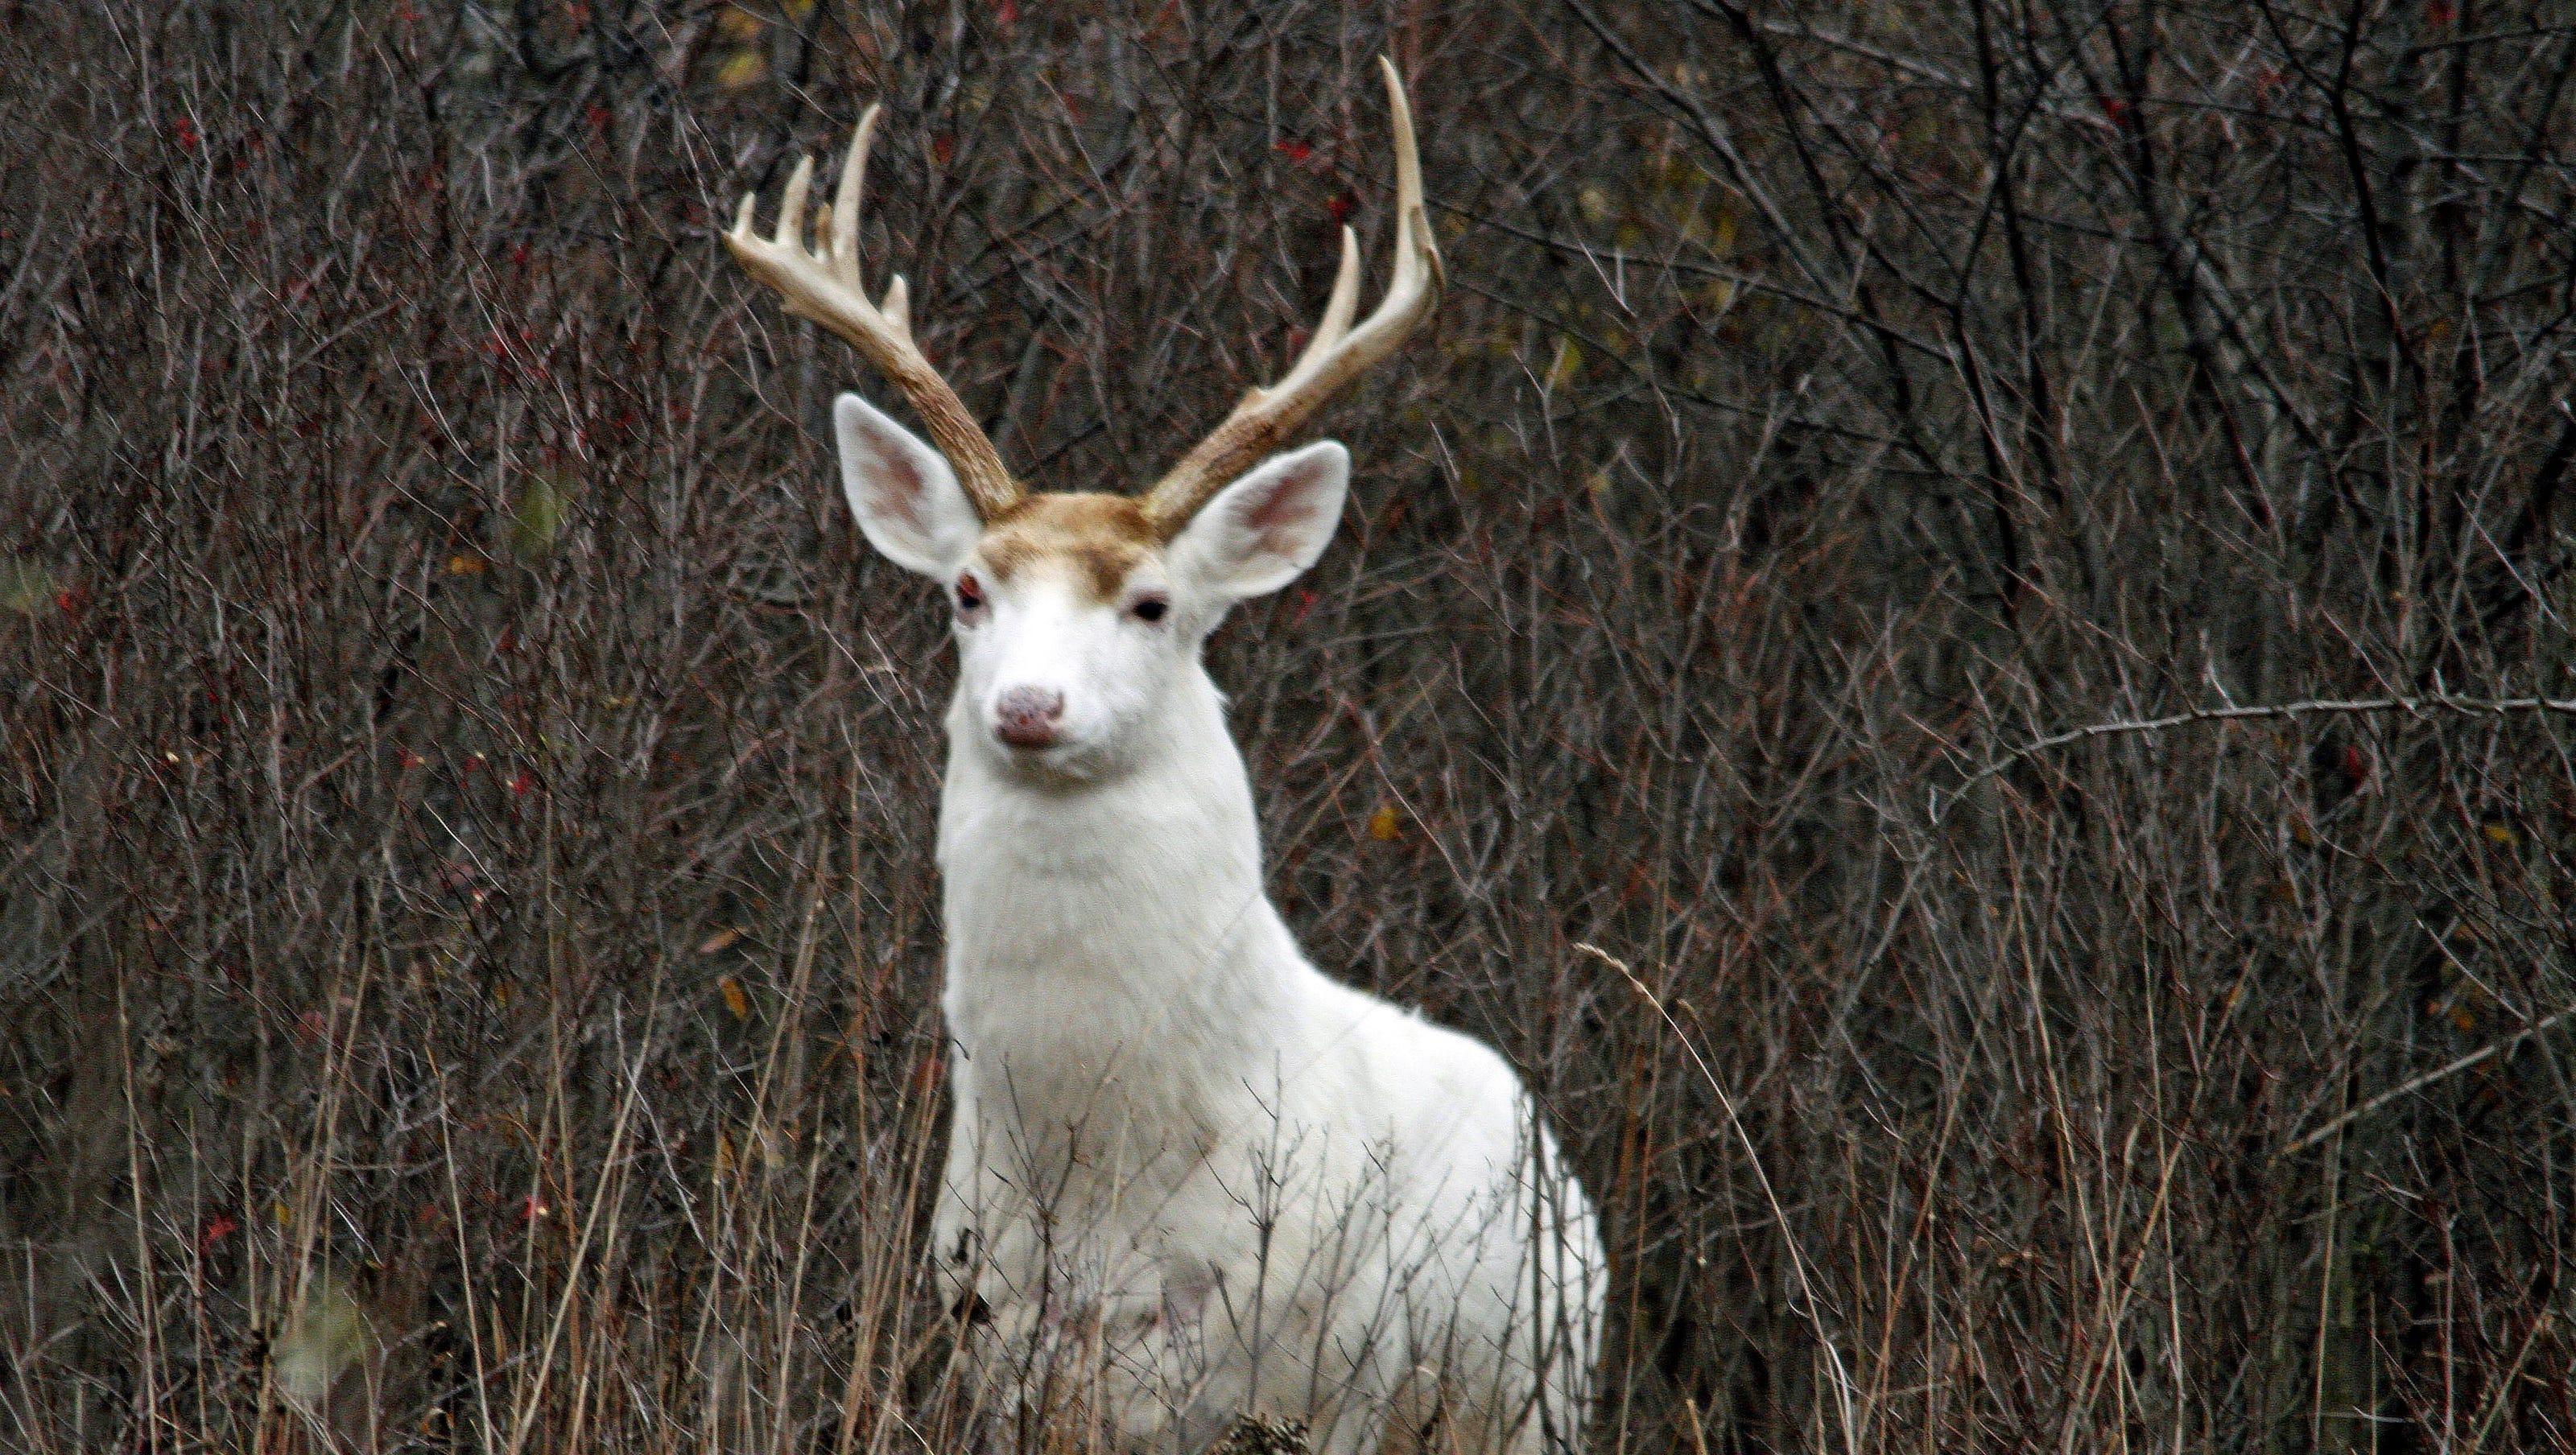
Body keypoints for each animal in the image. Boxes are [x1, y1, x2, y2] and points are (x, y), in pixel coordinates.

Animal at [722, 62, 1603, 1455]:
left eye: (1150, 604)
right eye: (967, 591)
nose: (1029, 705)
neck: (1104, 1181)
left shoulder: (1308, 1375)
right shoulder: (999, 1343)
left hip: (1533, 1399)